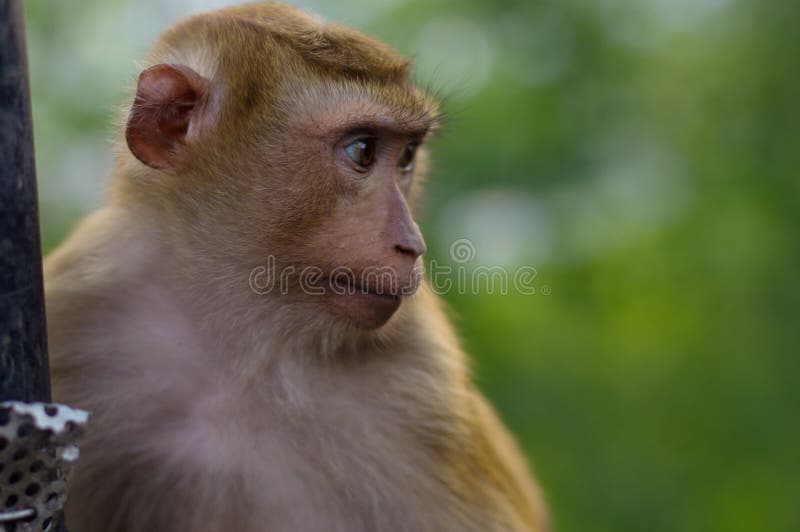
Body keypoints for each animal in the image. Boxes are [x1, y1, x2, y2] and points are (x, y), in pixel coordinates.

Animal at [43, 3, 549, 531]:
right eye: (363, 151)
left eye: (407, 155)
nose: (412, 244)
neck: (241, 344)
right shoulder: (77, 311)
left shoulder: (424, 382)